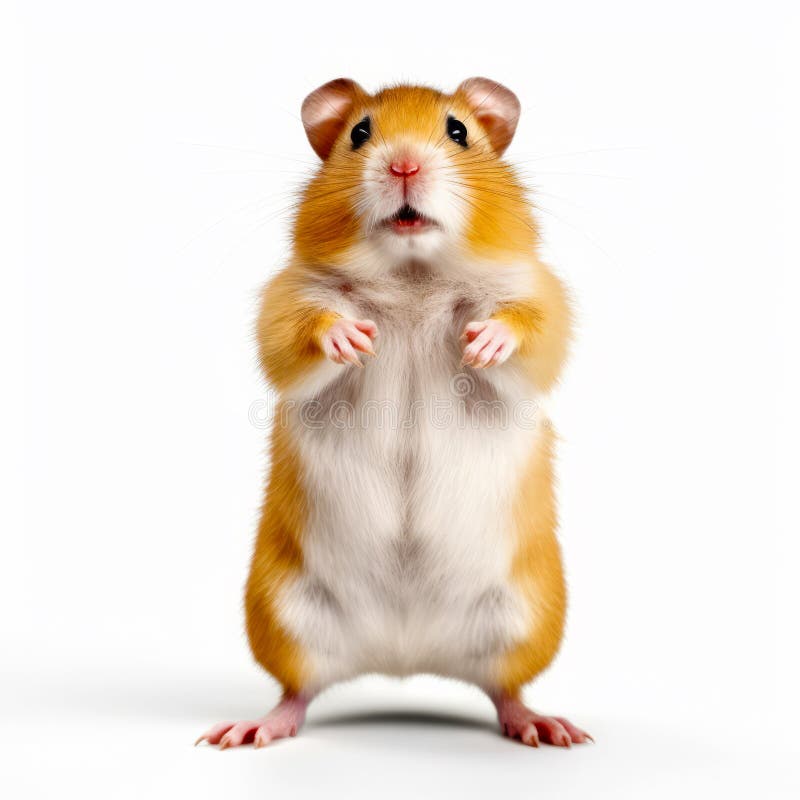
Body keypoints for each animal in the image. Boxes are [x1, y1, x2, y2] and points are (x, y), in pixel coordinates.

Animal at [197, 77, 590, 749]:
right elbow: (300, 334)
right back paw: (247, 731)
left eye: (458, 131)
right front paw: (353, 339)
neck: (412, 274)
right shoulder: (285, 302)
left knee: (506, 689)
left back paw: (549, 729)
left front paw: (483, 343)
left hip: (528, 615)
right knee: (295, 690)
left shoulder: (539, 296)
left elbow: (528, 331)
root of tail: (404, 657)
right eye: (360, 133)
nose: (405, 164)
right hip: (282, 612)